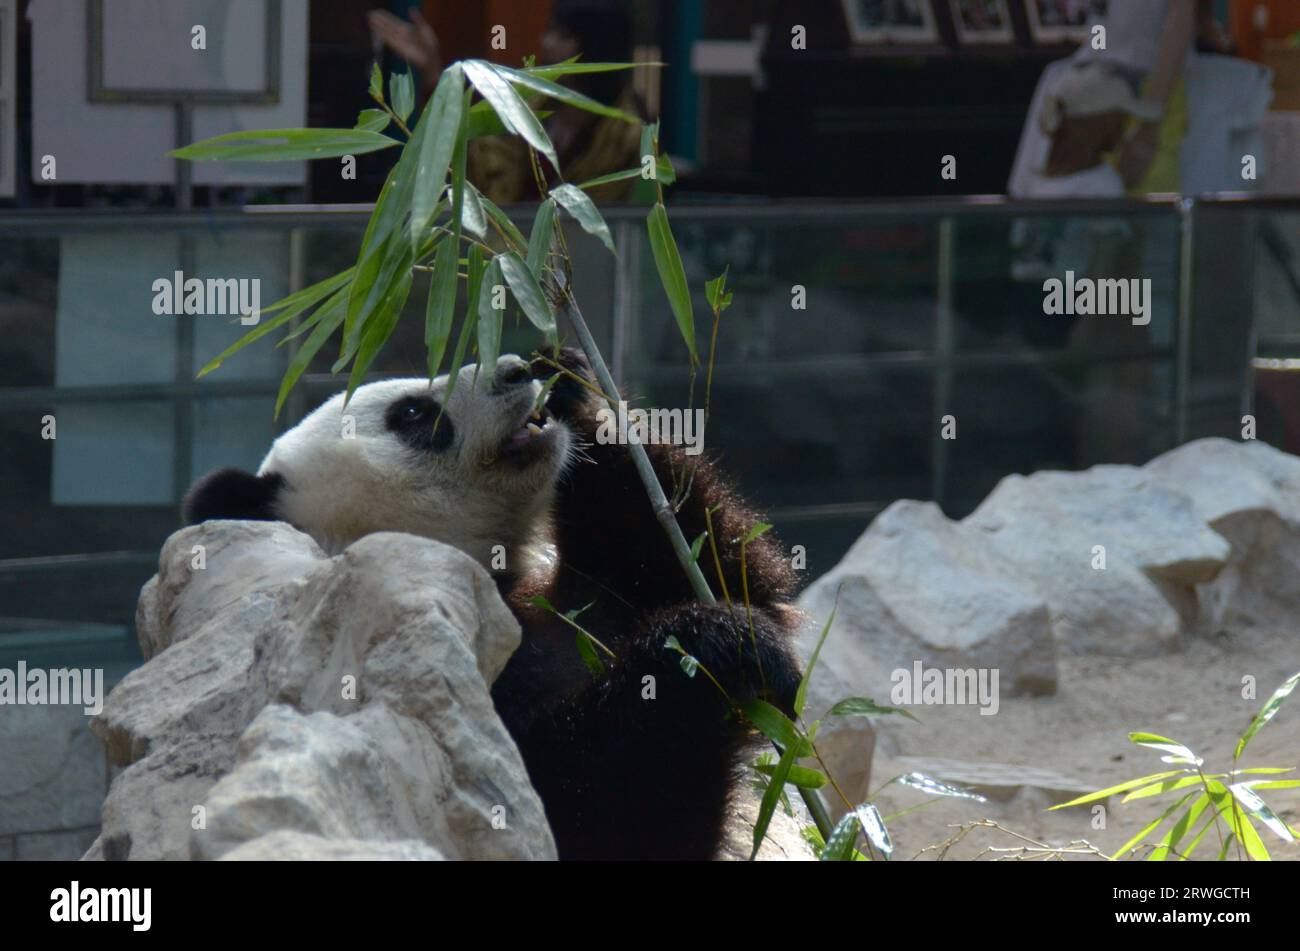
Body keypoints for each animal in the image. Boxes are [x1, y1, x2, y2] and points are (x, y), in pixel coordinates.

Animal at [184, 347, 802, 860]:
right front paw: (712, 645)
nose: (514, 371)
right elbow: (585, 812)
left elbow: (715, 573)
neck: (486, 573)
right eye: (413, 412)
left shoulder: (582, 599)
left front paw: (574, 387)